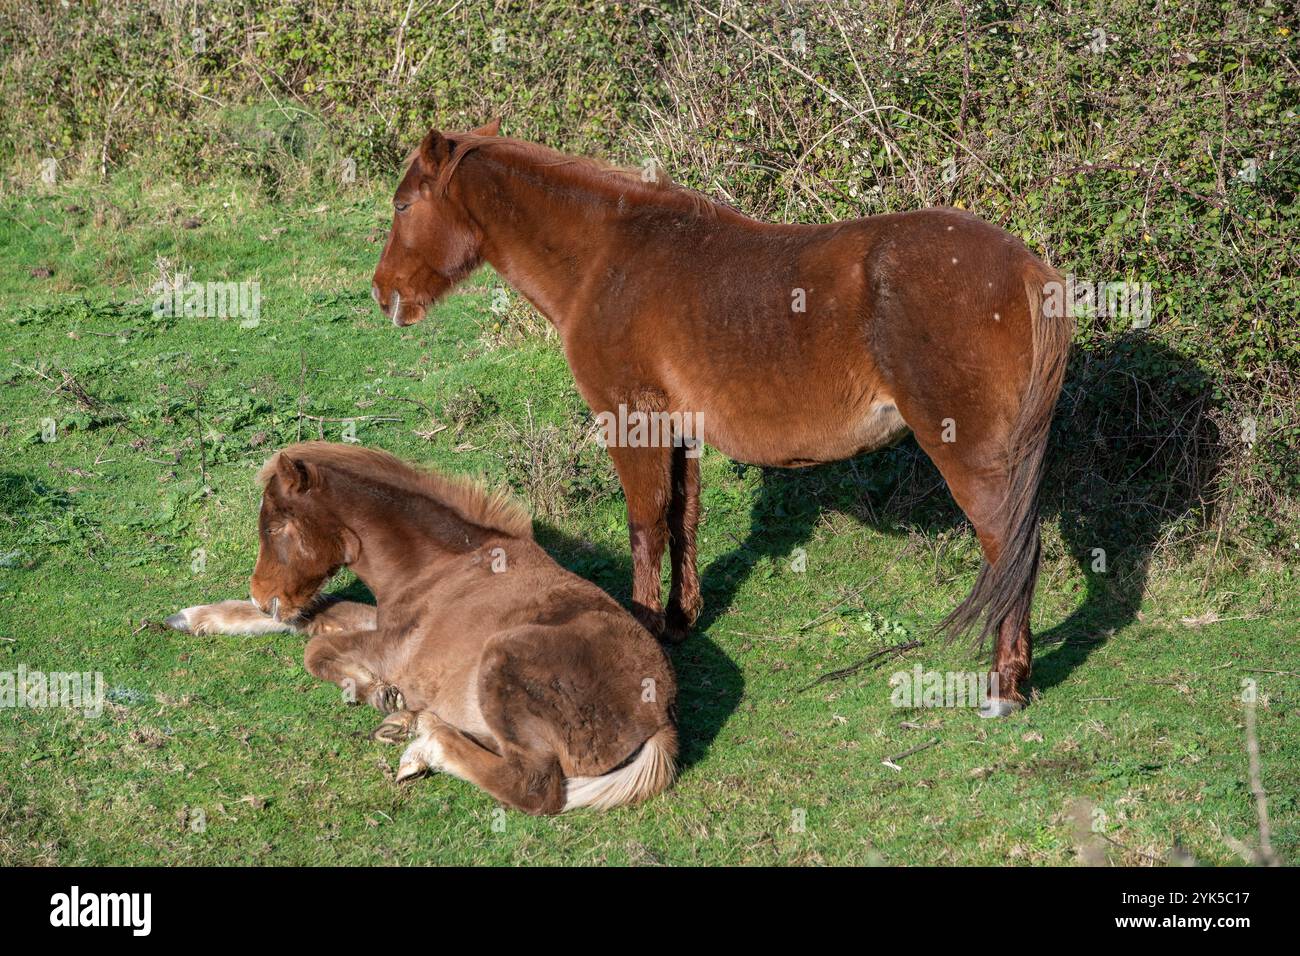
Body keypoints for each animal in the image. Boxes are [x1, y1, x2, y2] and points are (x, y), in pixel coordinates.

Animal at [166, 442, 678, 814]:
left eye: (274, 528)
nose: (261, 597)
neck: (433, 564)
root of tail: (659, 717)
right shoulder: (382, 620)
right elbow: (321, 615)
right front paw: (195, 618)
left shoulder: (393, 646)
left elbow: (315, 651)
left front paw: (374, 690)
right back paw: (412, 726)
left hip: (502, 660)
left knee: (534, 786)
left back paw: (426, 742)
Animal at [371, 120, 1073, 716]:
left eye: (403, 207)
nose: (384, 295)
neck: (608, 257)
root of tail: (1028, 269)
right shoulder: (677, 429)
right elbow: (683, 519)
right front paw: (680, 621)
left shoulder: (632, 421)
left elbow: (646, 525)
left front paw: (645, 628)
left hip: (972, 456)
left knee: (1009, 548)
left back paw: (1003, 686)